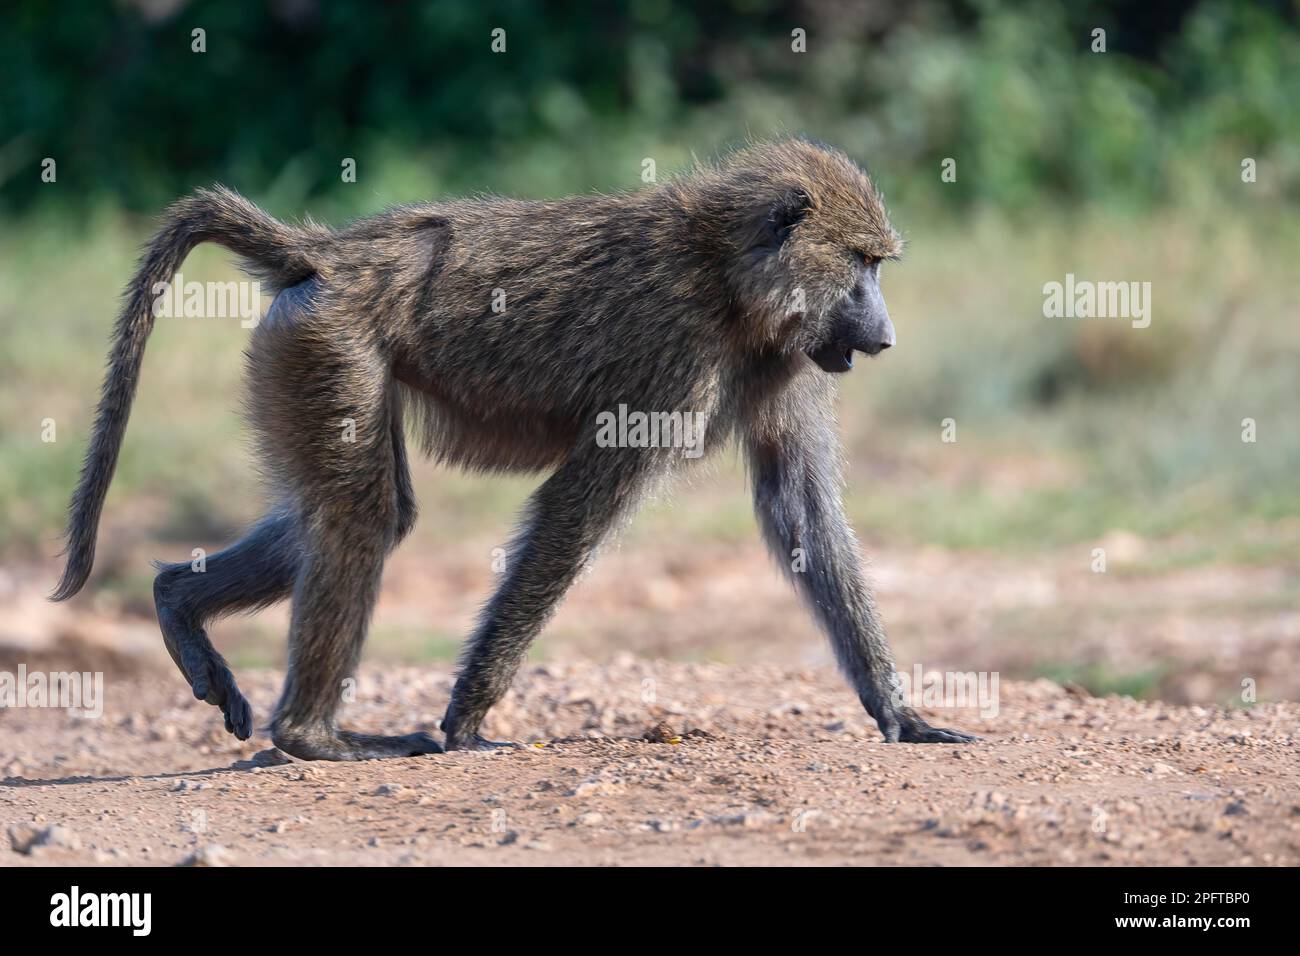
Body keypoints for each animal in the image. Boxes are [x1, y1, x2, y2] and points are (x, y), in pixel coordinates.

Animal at [52, 138, 975, 760]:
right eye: (861, 265)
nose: (885, 338)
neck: (729, 279)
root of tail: (330, 251)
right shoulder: (672, 365)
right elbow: (575, 513)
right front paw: (467, 718)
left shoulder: (791, 364)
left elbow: (804, 516)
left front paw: (902, 715)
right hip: (331, 344)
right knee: (362, 517)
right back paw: (312, 735)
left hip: (302, 349)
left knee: (355, 516)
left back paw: (179, 603)